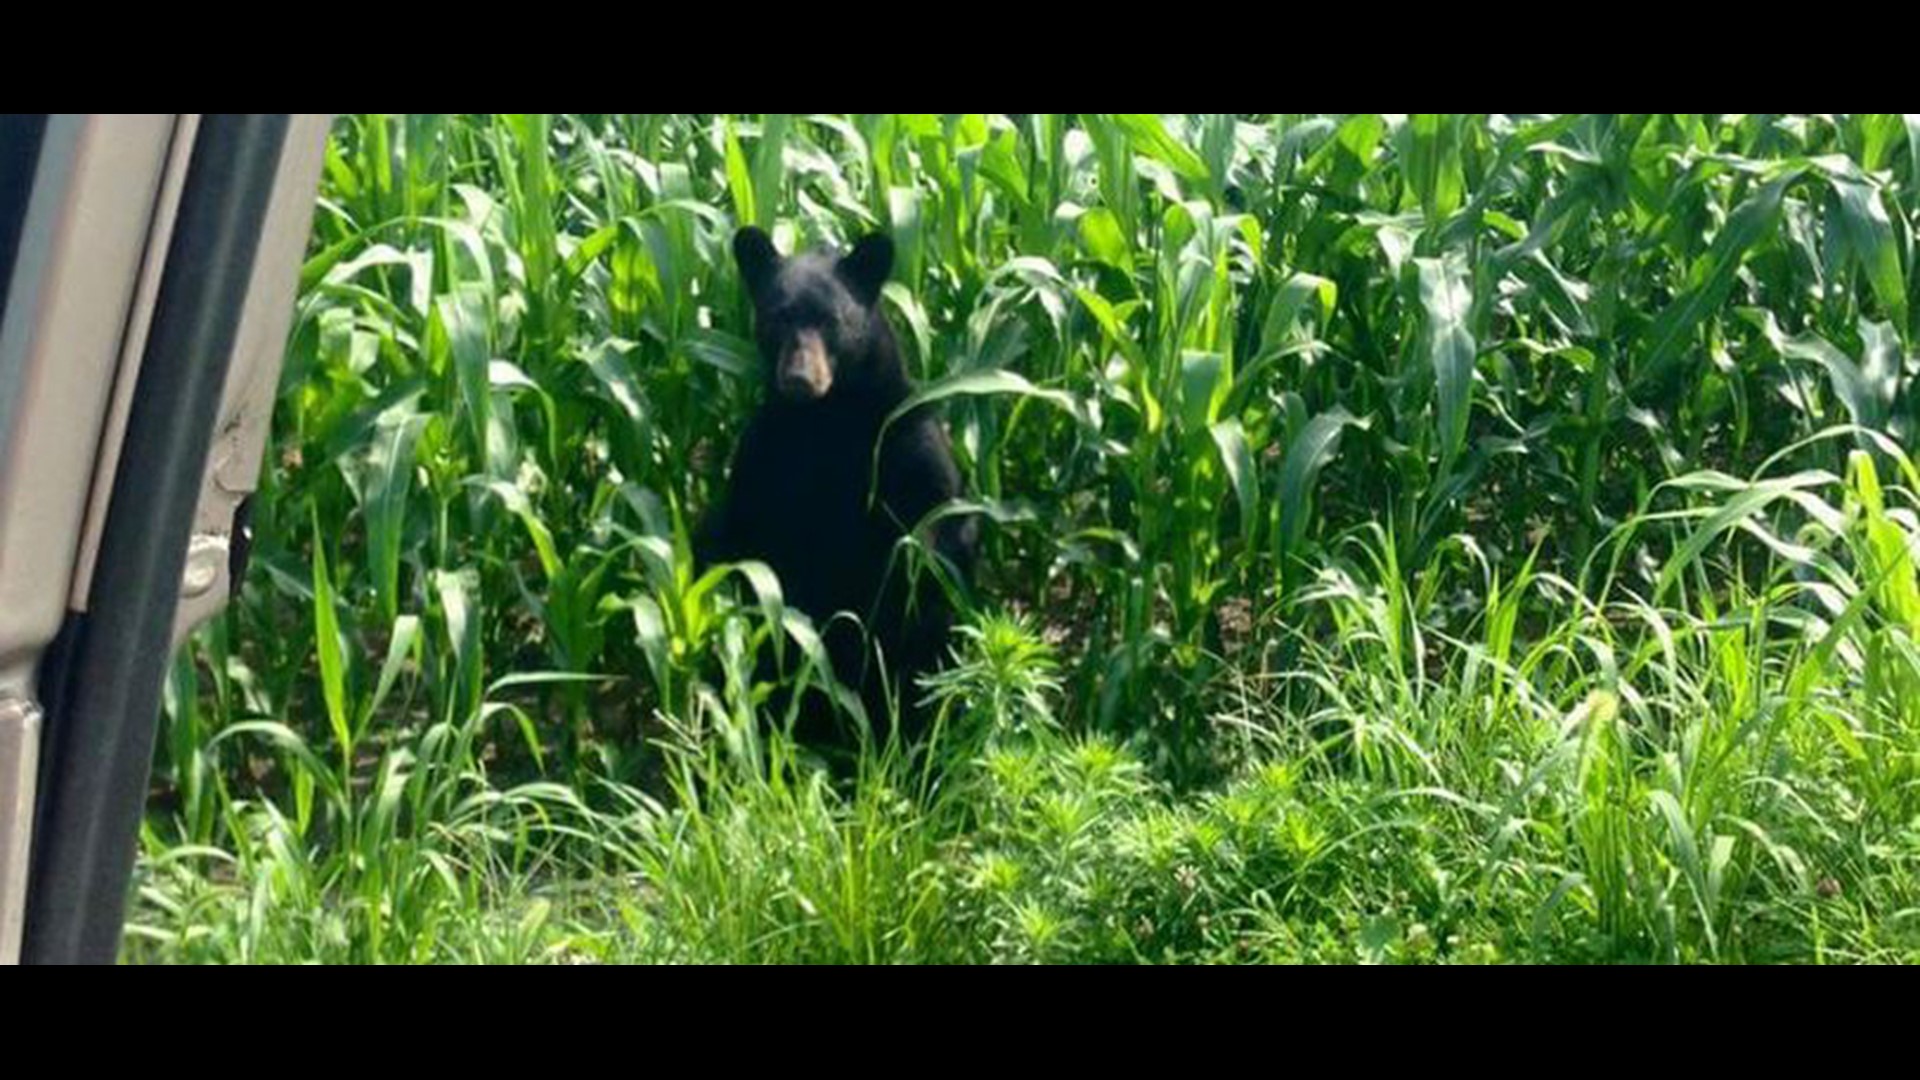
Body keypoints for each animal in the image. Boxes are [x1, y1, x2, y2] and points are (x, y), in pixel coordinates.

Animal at [694, 226, 979, 752]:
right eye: (778, 317)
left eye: (832, 321)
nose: (799, 379)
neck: (827, 420)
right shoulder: (762, 464)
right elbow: (742, 548)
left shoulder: (907, 443)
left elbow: (933, 542)